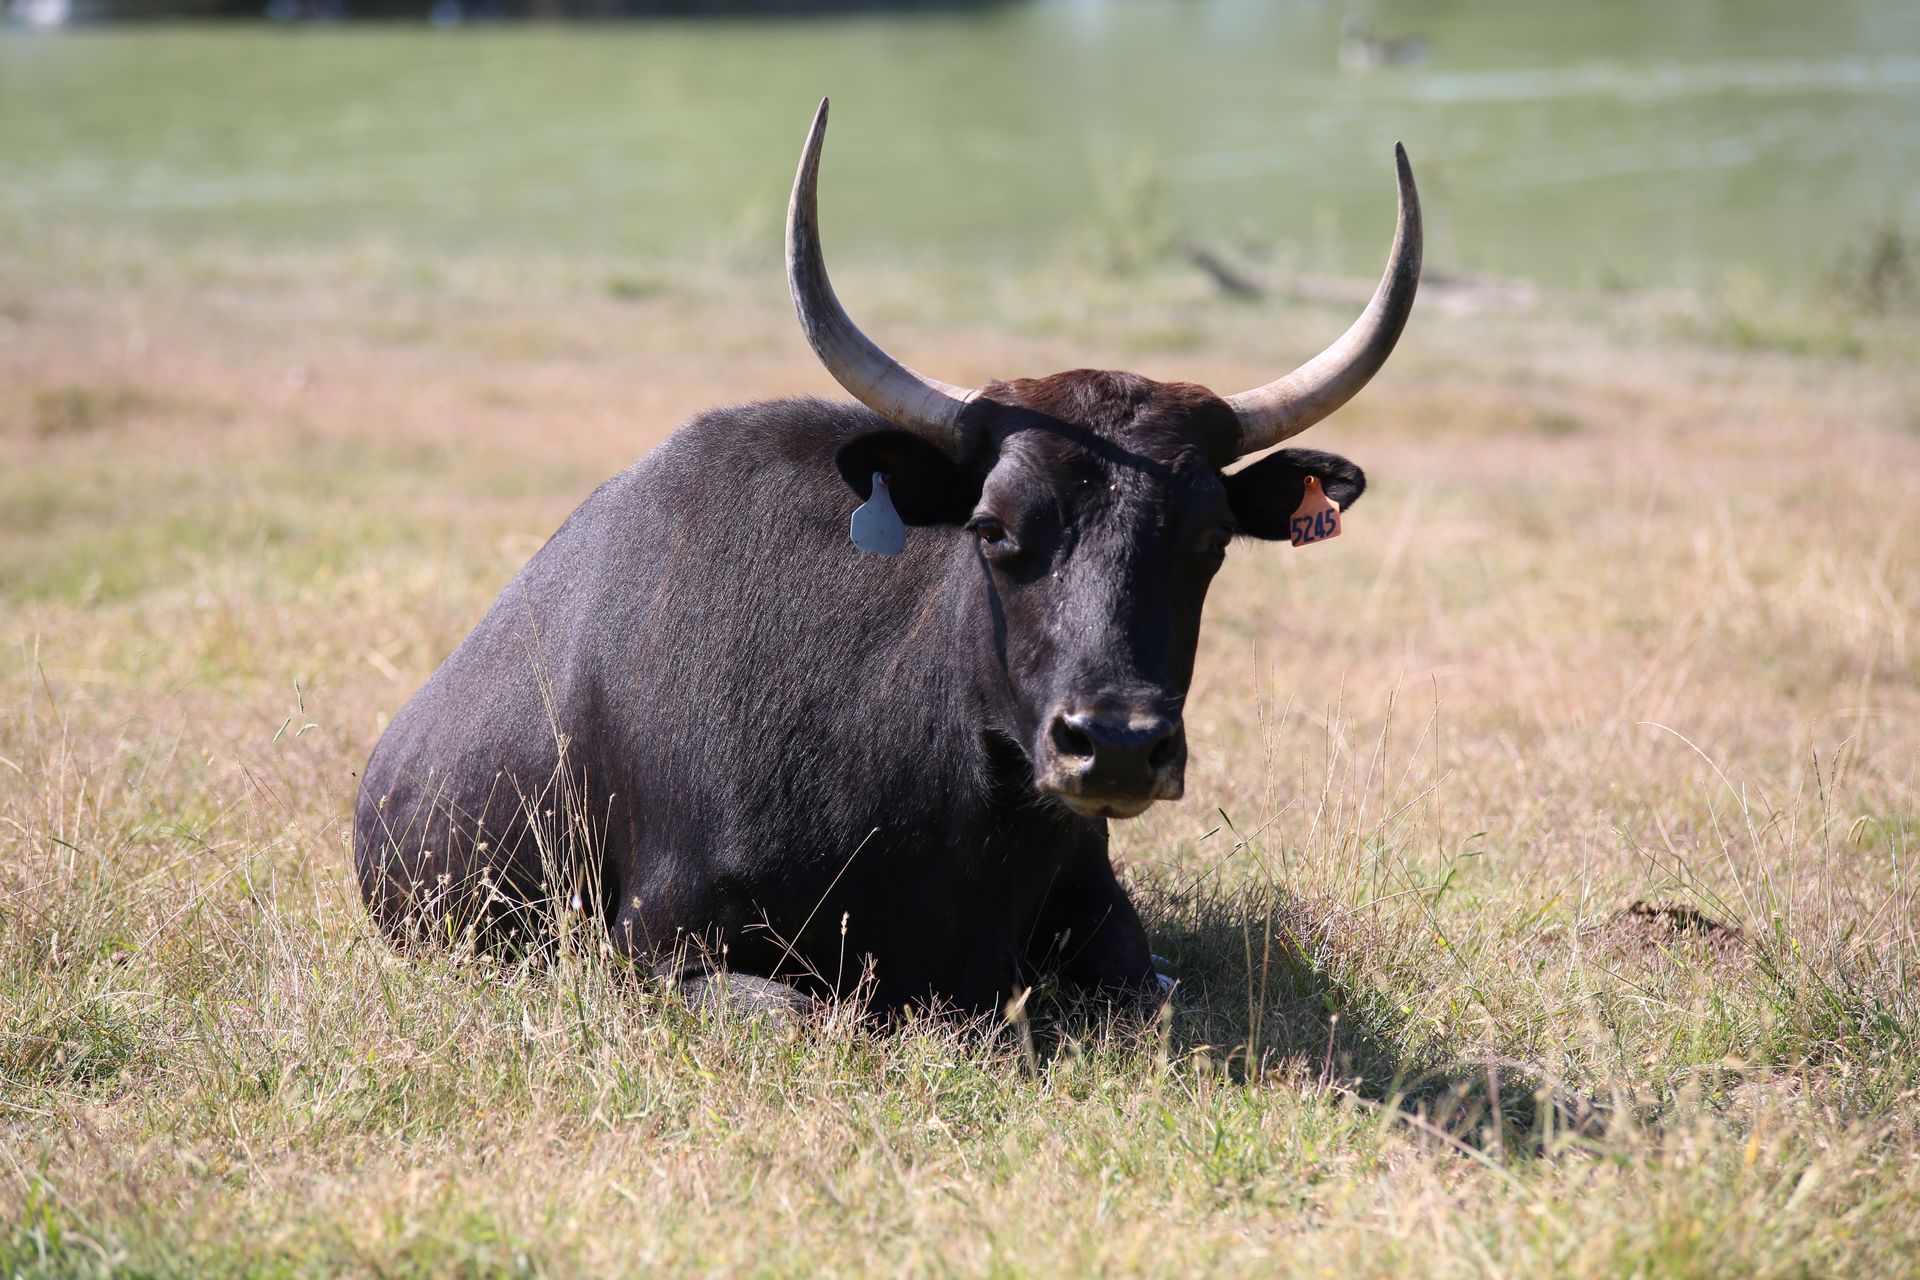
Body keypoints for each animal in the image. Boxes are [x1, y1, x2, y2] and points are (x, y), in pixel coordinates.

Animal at [353, 100, 1421, 1016]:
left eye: (1209, 540)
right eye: (992, 526)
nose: (1116, 745)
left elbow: (1147, 993)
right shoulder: (662, 945)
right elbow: (801, 1014)